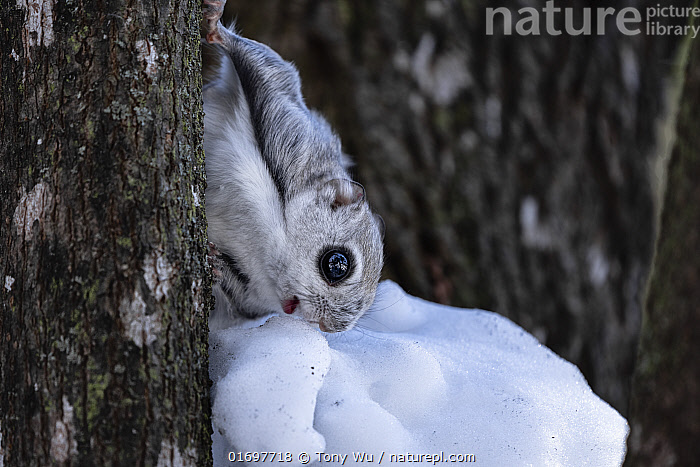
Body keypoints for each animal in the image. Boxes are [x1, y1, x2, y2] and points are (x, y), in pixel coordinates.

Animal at [202, 1, 384, 333]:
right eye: (337, 264)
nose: (326, 326)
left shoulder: (247, 297)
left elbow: (230, 300)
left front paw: (215, 264)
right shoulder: (286, 130)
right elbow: (263, 63)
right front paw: (214, 23)